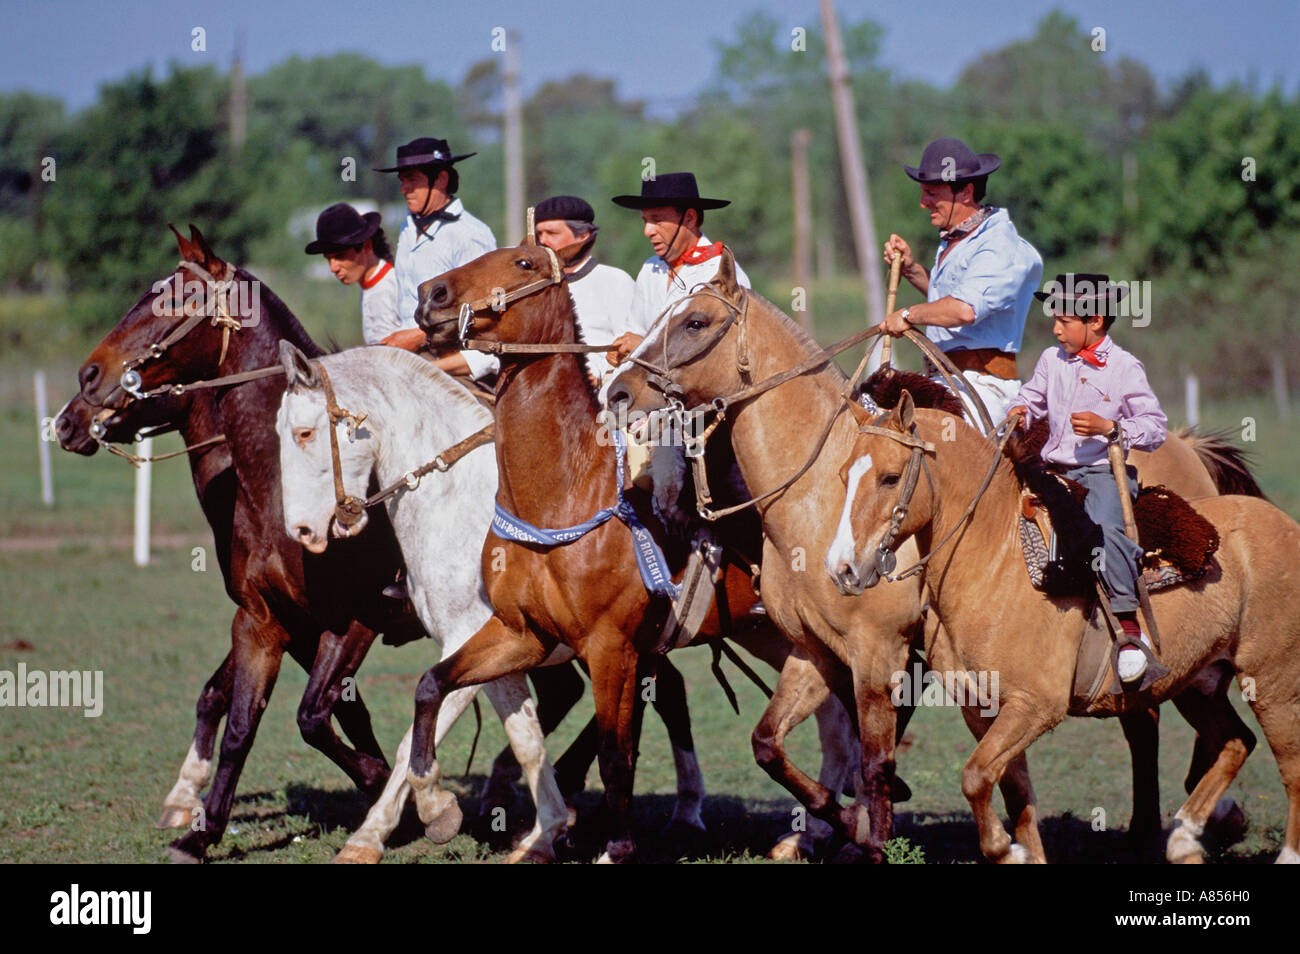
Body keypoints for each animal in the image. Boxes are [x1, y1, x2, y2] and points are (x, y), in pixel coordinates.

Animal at [56, 225, 558, 862]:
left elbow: (314, 716)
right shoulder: (266, 621)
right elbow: (240, 716)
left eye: (176, 299)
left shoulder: (352, 622)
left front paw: (392, 793)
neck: (270, 493)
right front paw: (198, 826)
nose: (81, 393)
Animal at [830, 393, 1300, 864]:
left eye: (890, 477)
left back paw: (1283, 853)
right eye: (843, 474)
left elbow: (976, 776)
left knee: (1290, 763)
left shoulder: (1035, 706)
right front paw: (1023, 852)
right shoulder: (984, 709)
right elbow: (1014, 793)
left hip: (1270, 682)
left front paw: (1007, 851)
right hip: (1196, 683)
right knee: (1237, 741)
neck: (995, 560)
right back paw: (1184, 839)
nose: (842, 569)